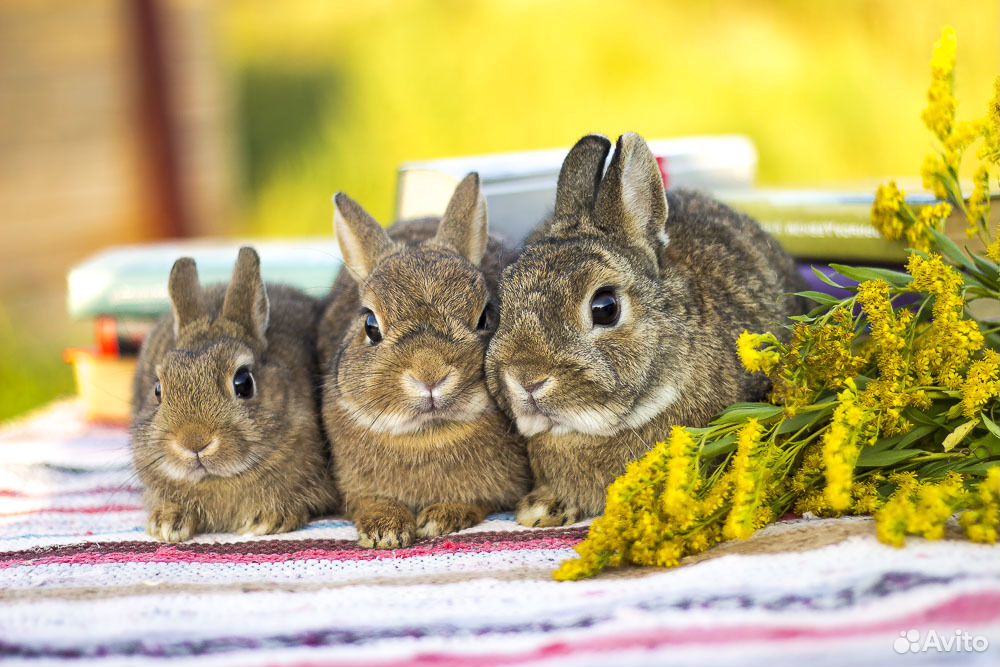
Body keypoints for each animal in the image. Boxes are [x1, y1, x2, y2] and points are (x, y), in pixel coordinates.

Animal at [317, 173, 531, 549]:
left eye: (486, 317)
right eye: (370, 326)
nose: (430, 374)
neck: (427, 434)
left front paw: (441, 518)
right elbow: (371, 503)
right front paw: (385, 529)